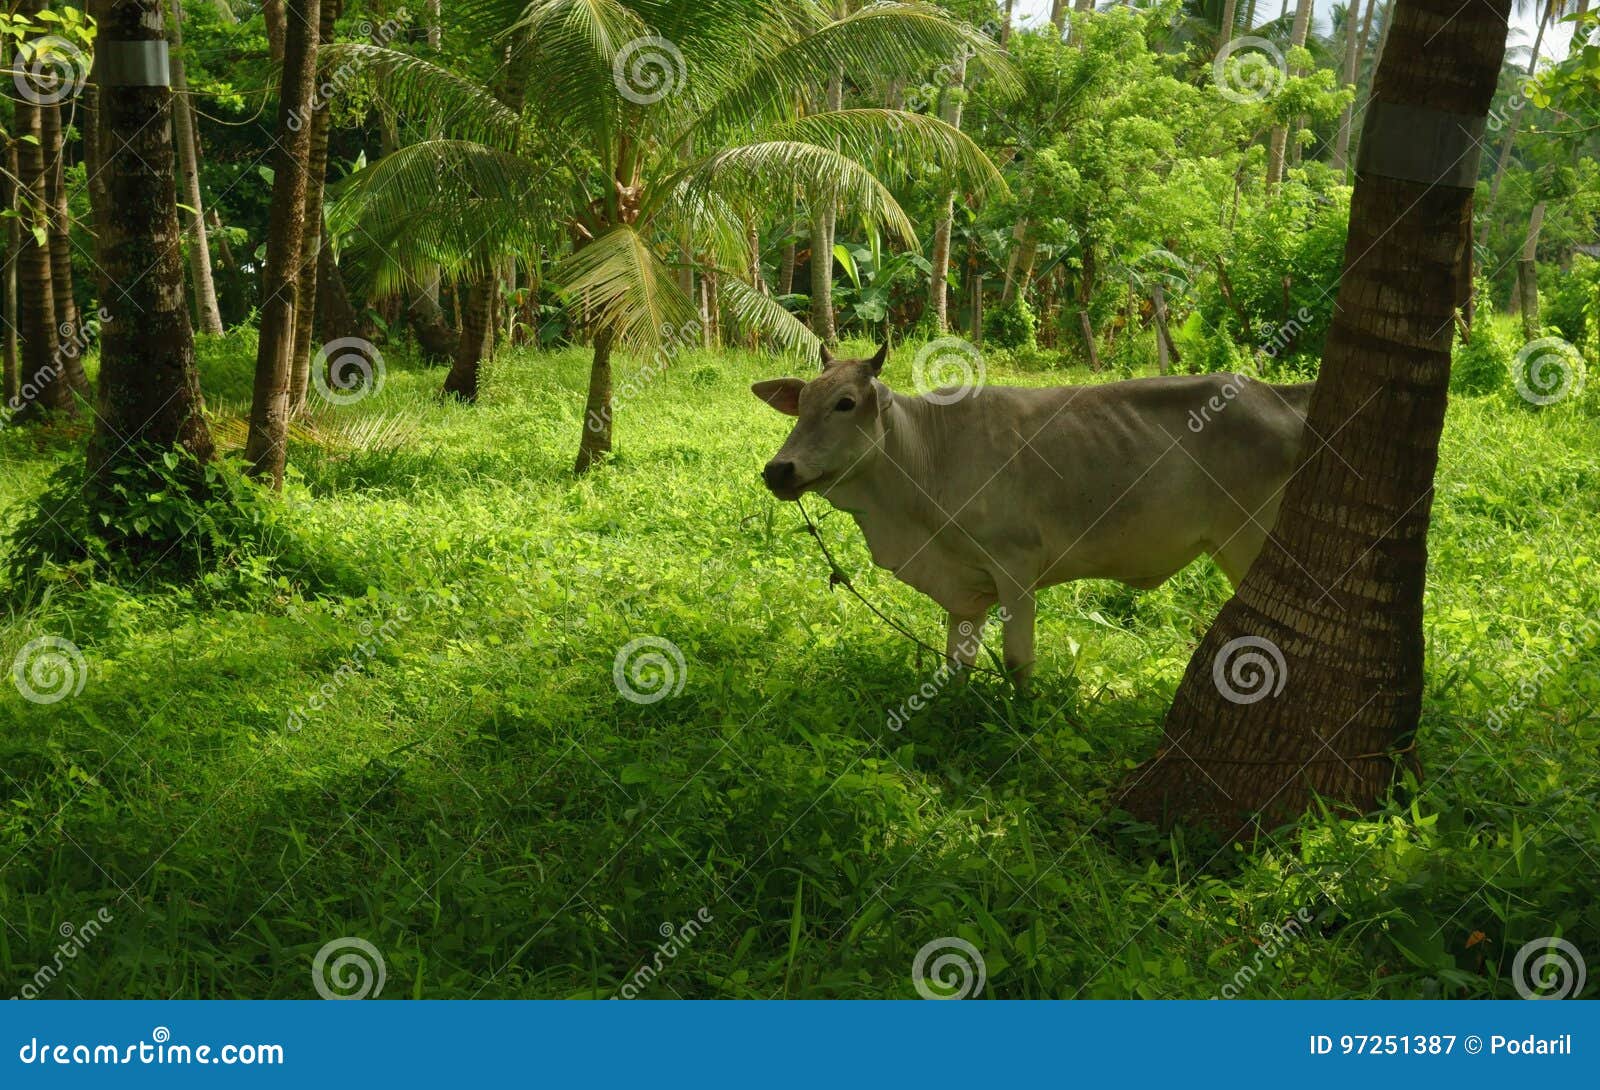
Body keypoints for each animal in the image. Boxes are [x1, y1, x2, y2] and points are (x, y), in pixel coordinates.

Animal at [752, 344, 1312, 686]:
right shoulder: (966, 590)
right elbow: (957, 663)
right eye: (802, 402)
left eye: (846, 403)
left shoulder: (1016, 567)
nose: (779, 469)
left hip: (1249, 542)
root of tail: (1280, 394)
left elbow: (1019, 662)